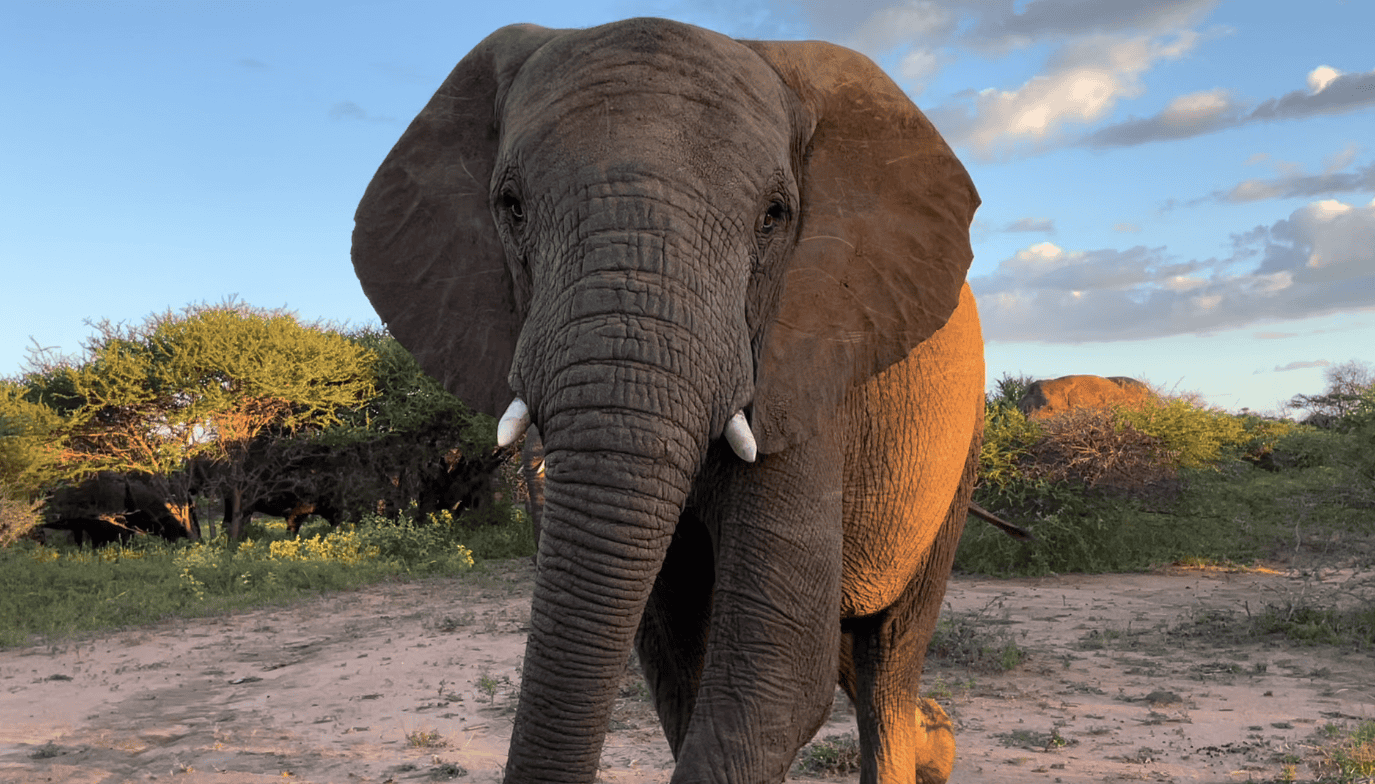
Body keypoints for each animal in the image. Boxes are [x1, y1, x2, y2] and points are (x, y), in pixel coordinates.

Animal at [352, 18, 984, 784]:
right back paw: (937, 739)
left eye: (774, 216)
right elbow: (673, 651)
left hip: (960, 449)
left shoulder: (807, 364)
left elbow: (772, 682)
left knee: (887, 656)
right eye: (511, 207)